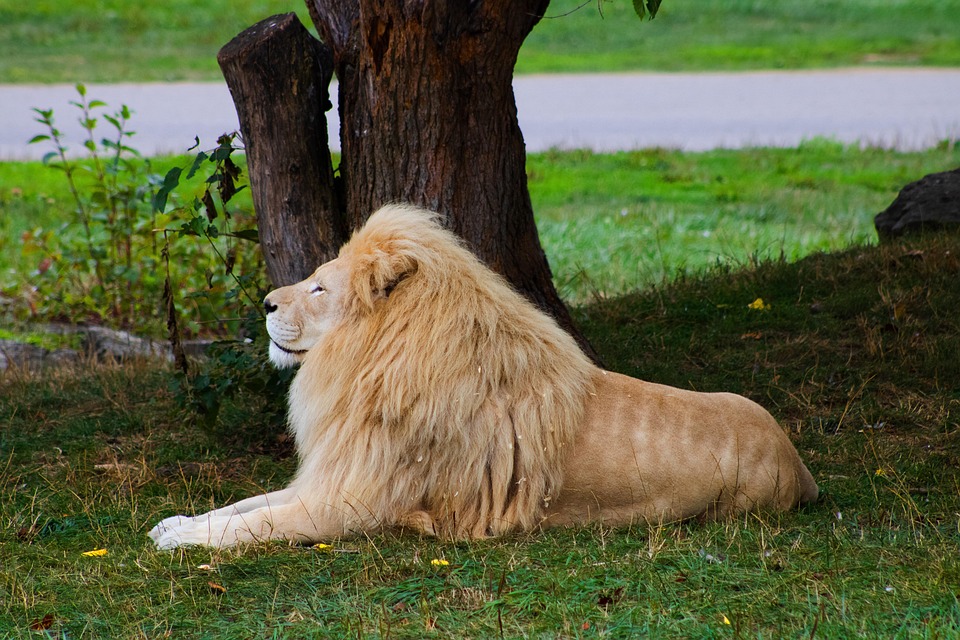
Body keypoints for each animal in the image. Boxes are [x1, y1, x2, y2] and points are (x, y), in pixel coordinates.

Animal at [149, 204, 817, 549]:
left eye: (318, 287)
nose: (265, 302)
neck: (361, 365)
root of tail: (798, 462)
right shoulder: (327, 476)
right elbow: (244, 503)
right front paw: (175, 522)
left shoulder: (351, 503)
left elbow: (254, 524)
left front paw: (181, 541)